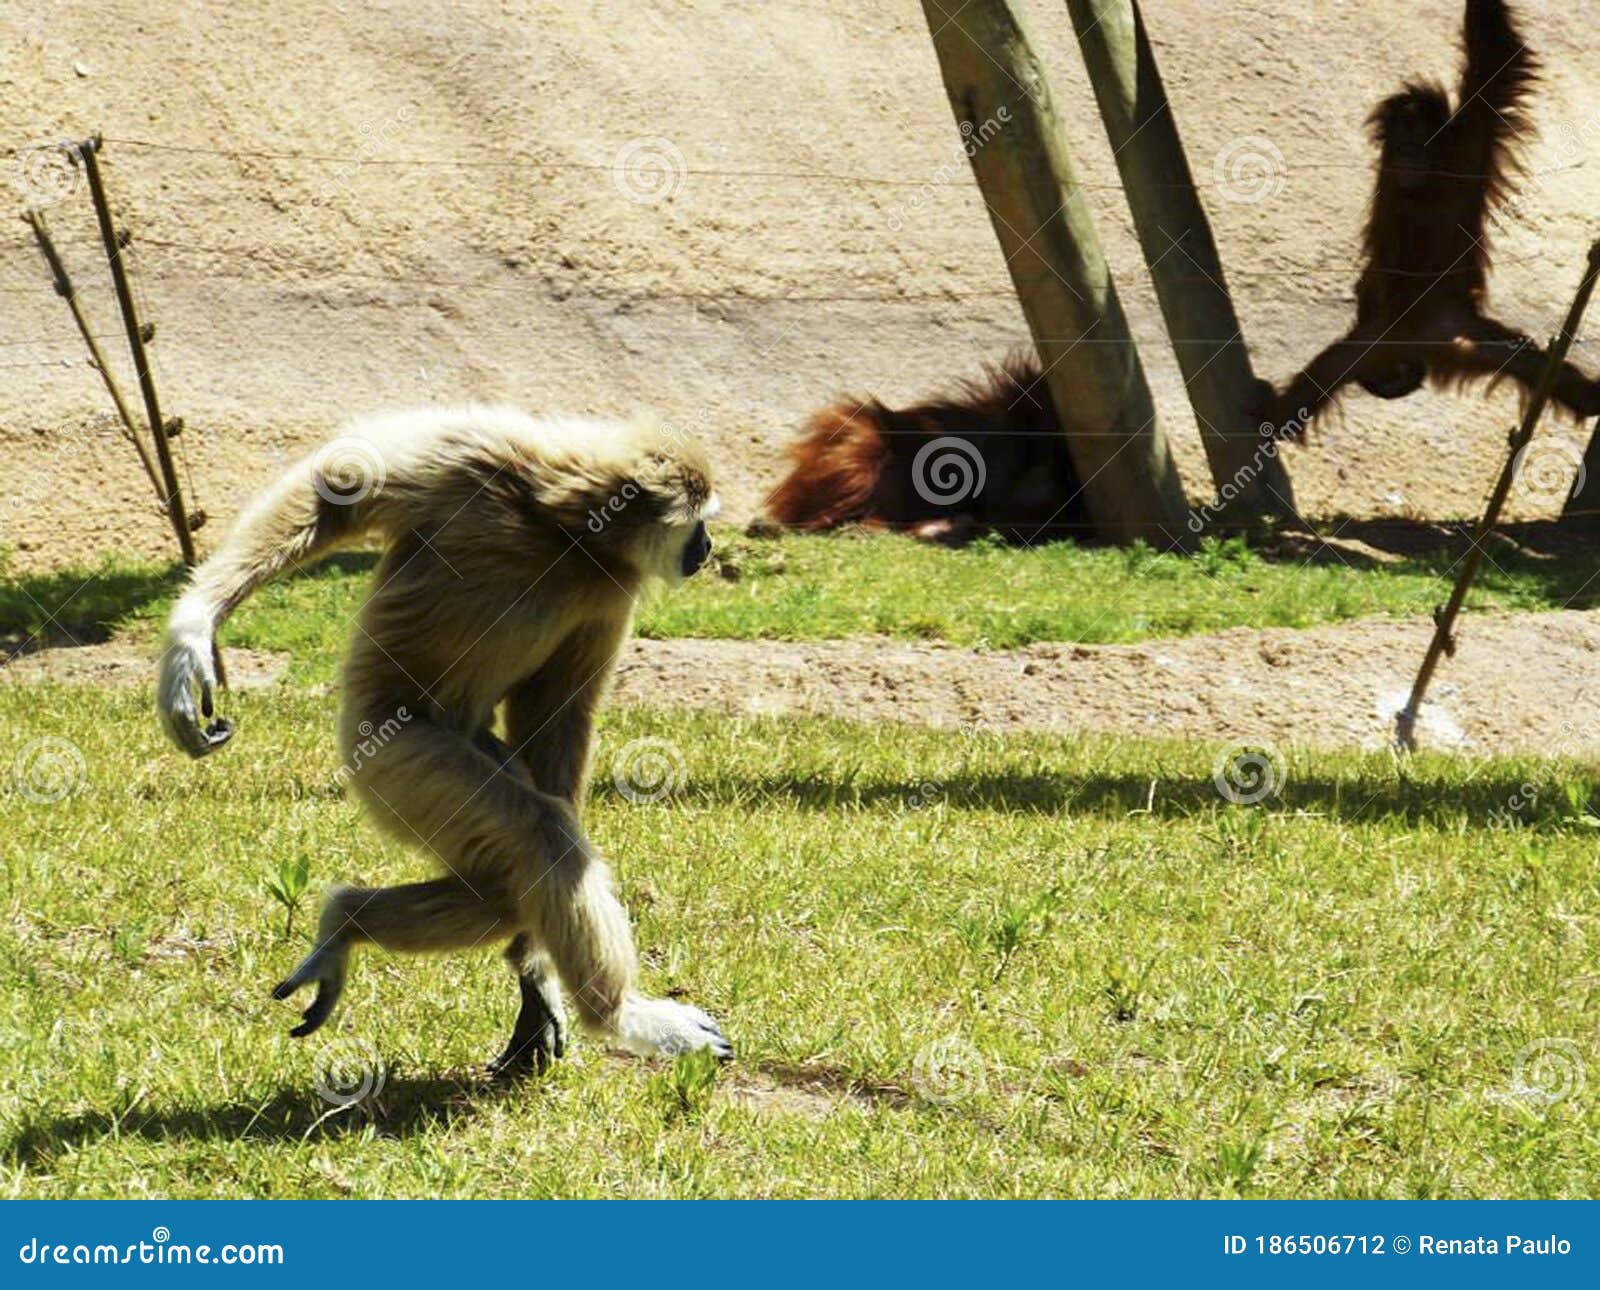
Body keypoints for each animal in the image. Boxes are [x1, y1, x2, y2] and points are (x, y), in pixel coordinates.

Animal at [157, 406, 729, 1075]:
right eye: (699, 527)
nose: (708, 548)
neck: (568, 536)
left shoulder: (611, 593)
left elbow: (555, 719)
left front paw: (537, 980)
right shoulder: (477, 455)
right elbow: (340, 486)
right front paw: (191, 633)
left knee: (508, 882)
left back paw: (349, 921)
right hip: (392, 760)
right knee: (537, 836)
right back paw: (621, 1017)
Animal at [1258, 0, 1600, 437]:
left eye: (1418, 141)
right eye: (1401, 143)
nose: (1408, 157)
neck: (1427, 184)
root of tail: (1429, 343)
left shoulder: (1472, 140)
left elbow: (1492, 57)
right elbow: (1372, 277)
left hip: (1465, 329)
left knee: (1532, 366)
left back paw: (1589, 396)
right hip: (1387, 336)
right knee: (1335, 366)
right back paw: (1275, 415)